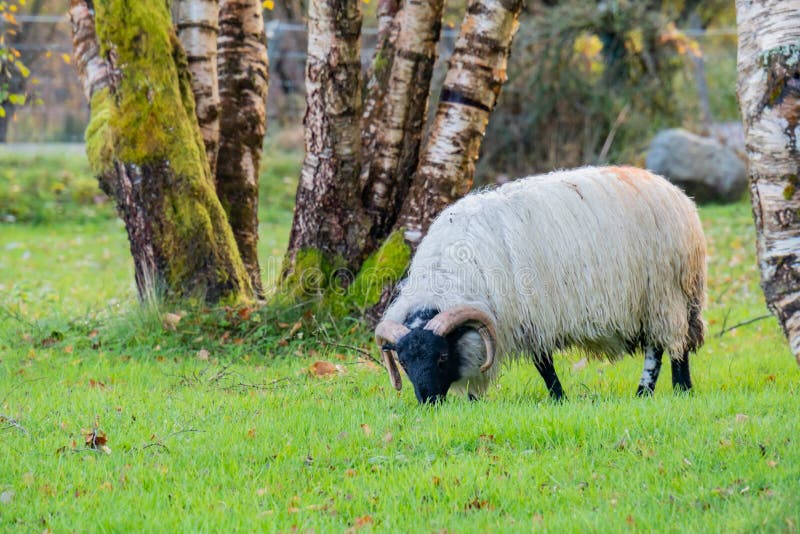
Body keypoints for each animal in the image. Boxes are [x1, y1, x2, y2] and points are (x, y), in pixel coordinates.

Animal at [375, 166, 706, 404]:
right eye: (403, 361)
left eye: (442, 356)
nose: (427, 401)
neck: (449, 273)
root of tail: (675, 192)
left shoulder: (532, 317)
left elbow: (544, 365)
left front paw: (558, 398)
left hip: (665, 293)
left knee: (668, 347)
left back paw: (667, 390)